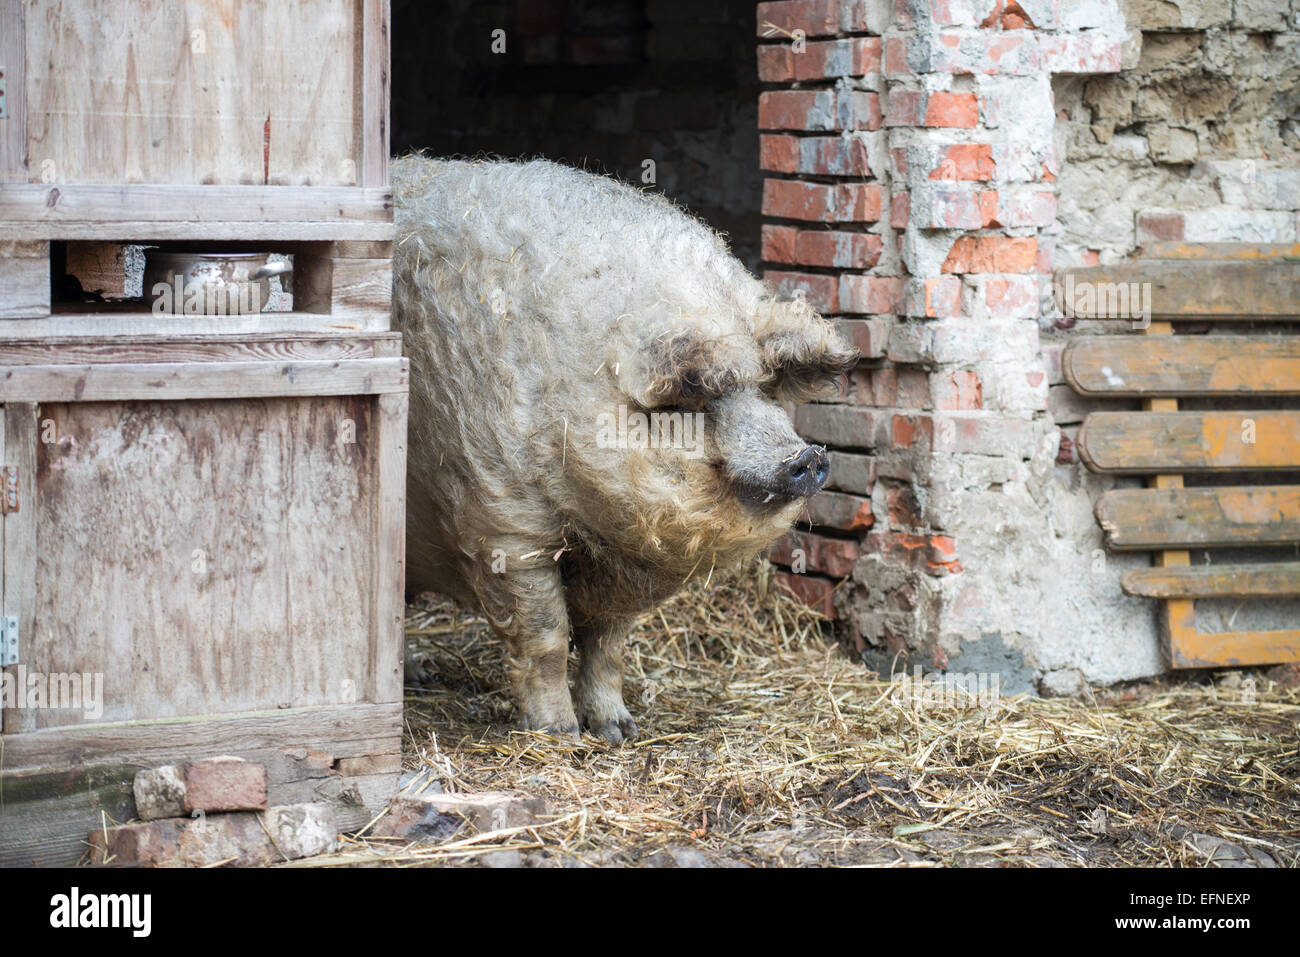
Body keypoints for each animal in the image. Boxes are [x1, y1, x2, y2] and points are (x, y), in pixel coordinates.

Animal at [391, 155, 857, 742]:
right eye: (697, 400)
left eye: (769, 388)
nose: (808, 458)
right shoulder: (501, 521)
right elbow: (545, 635)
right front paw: (560, 736)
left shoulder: (632, 565)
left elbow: (608, 645)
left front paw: (618, 731)